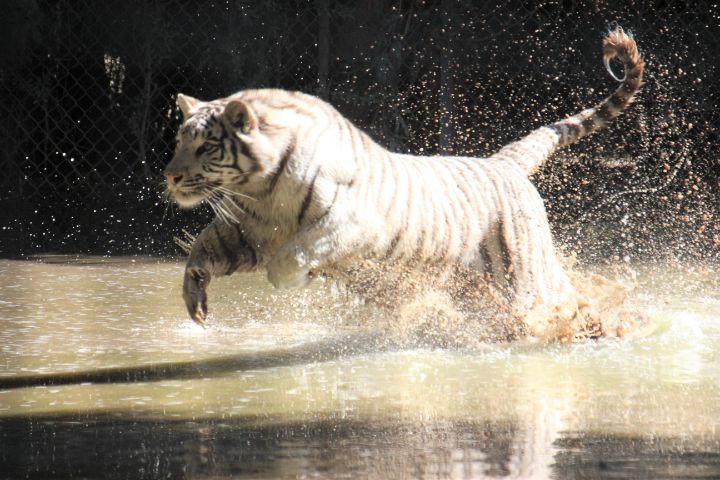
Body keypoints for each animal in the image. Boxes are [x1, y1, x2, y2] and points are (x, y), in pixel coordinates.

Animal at [164, 28, 644, 340]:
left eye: (205, 146)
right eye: (179, 139)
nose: (170, 175)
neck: (261, 189)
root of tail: (502, 163)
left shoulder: (350, 221)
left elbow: (293, 256)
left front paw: (298, 278)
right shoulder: (247, 229)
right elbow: (202, 250)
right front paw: (194, 301)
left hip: (526, 275)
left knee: (569, 302)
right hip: (473, 285)